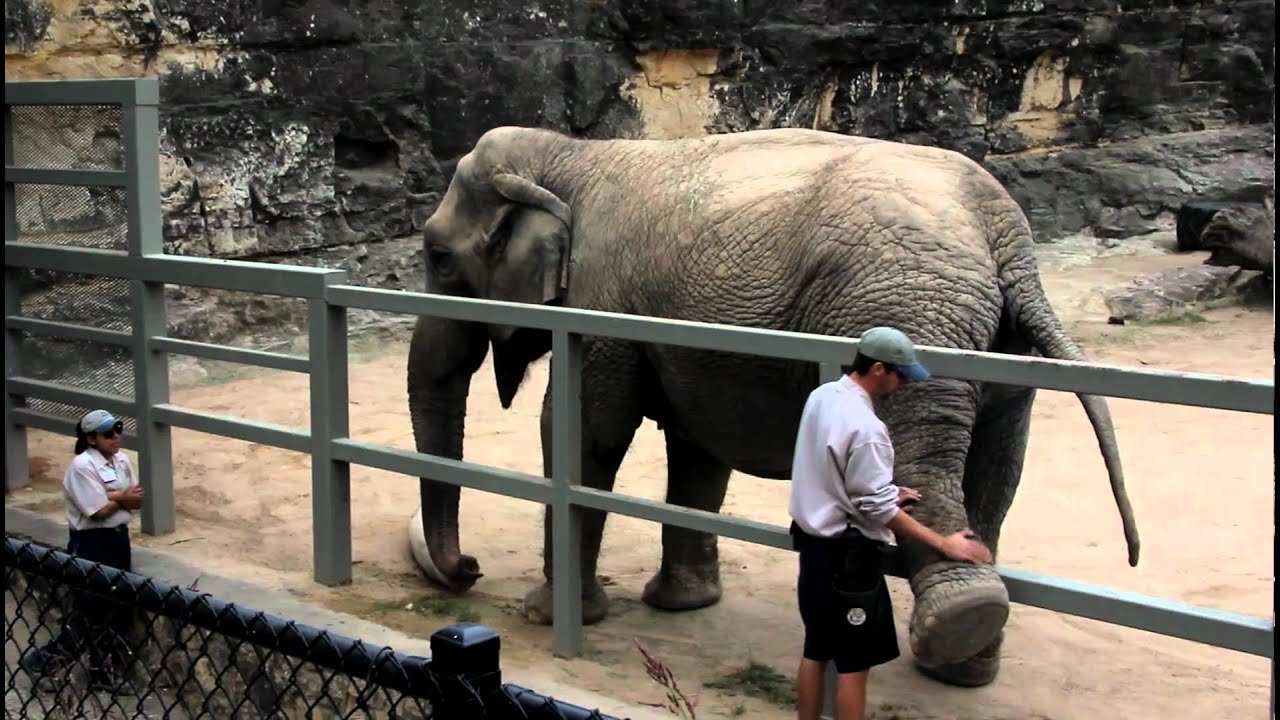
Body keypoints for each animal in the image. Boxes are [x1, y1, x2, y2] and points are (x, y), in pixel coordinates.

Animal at [404, 125, 1141, 687]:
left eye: (437, 256)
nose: (466, 571)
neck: (568, 156)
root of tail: (1005, 235)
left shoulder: (601, 297)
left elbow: (587, 431)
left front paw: (548, 616)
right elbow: (697, 448)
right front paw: (681, 606)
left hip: (907, 316)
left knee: (923, 452)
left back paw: (961, 623)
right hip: (1000, 344)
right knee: (996, 464)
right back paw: (962, 667)